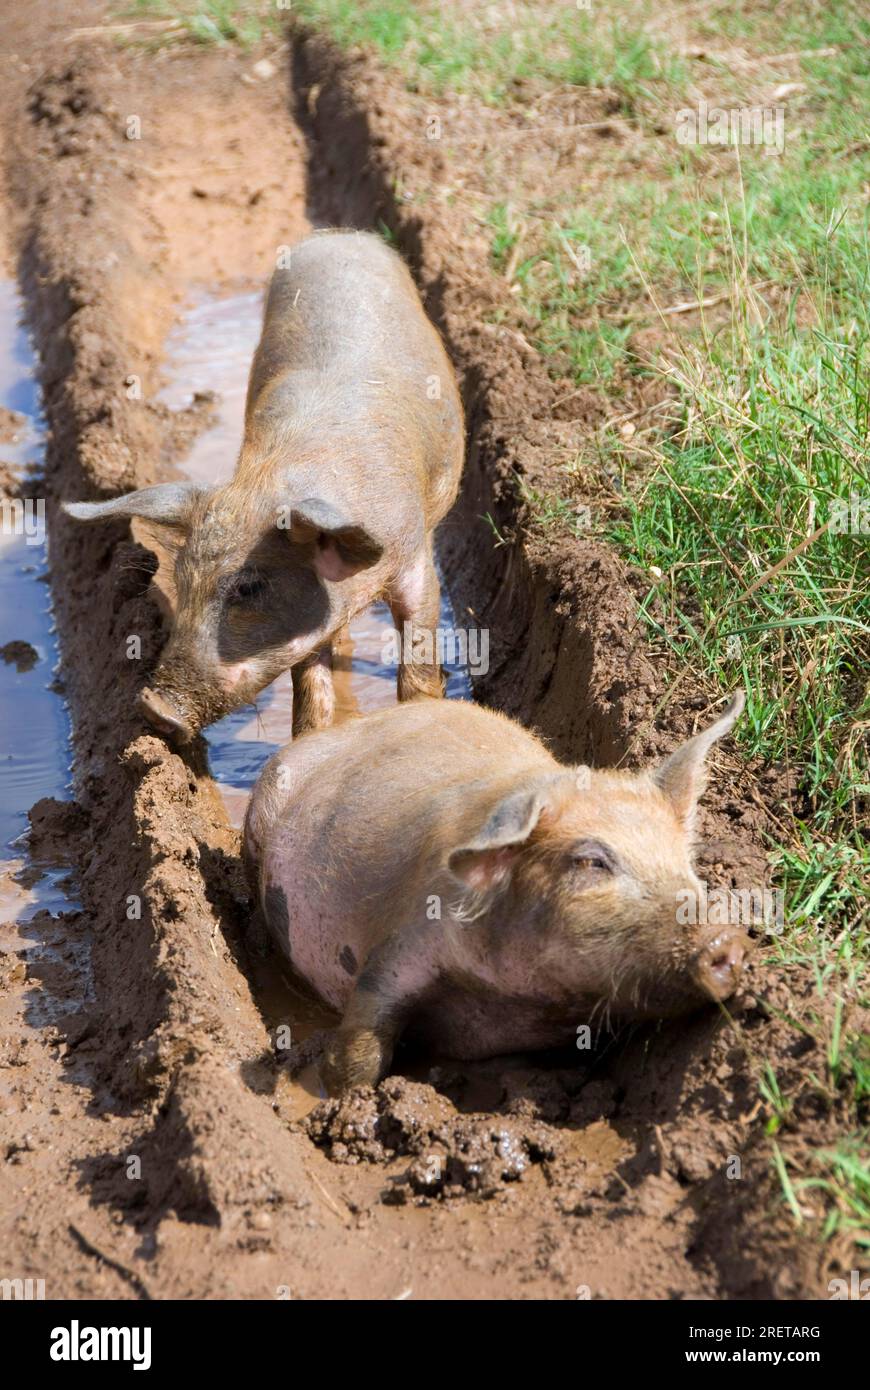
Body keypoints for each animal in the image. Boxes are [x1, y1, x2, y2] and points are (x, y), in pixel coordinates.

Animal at [63, 230, 465, 740]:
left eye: (249, 587)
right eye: (182, 579)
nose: (155, 709)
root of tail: (339, 235)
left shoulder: (415, 555)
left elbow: (417, 655)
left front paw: (422, 710)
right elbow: (311, 689)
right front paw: (310, 735)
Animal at [243, 690, 749, 1095]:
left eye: (686, 863)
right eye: (592, 861)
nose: (725, 939)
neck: (512, 1002)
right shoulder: (403, 938)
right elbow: (364, 1040)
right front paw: (340, 1098)